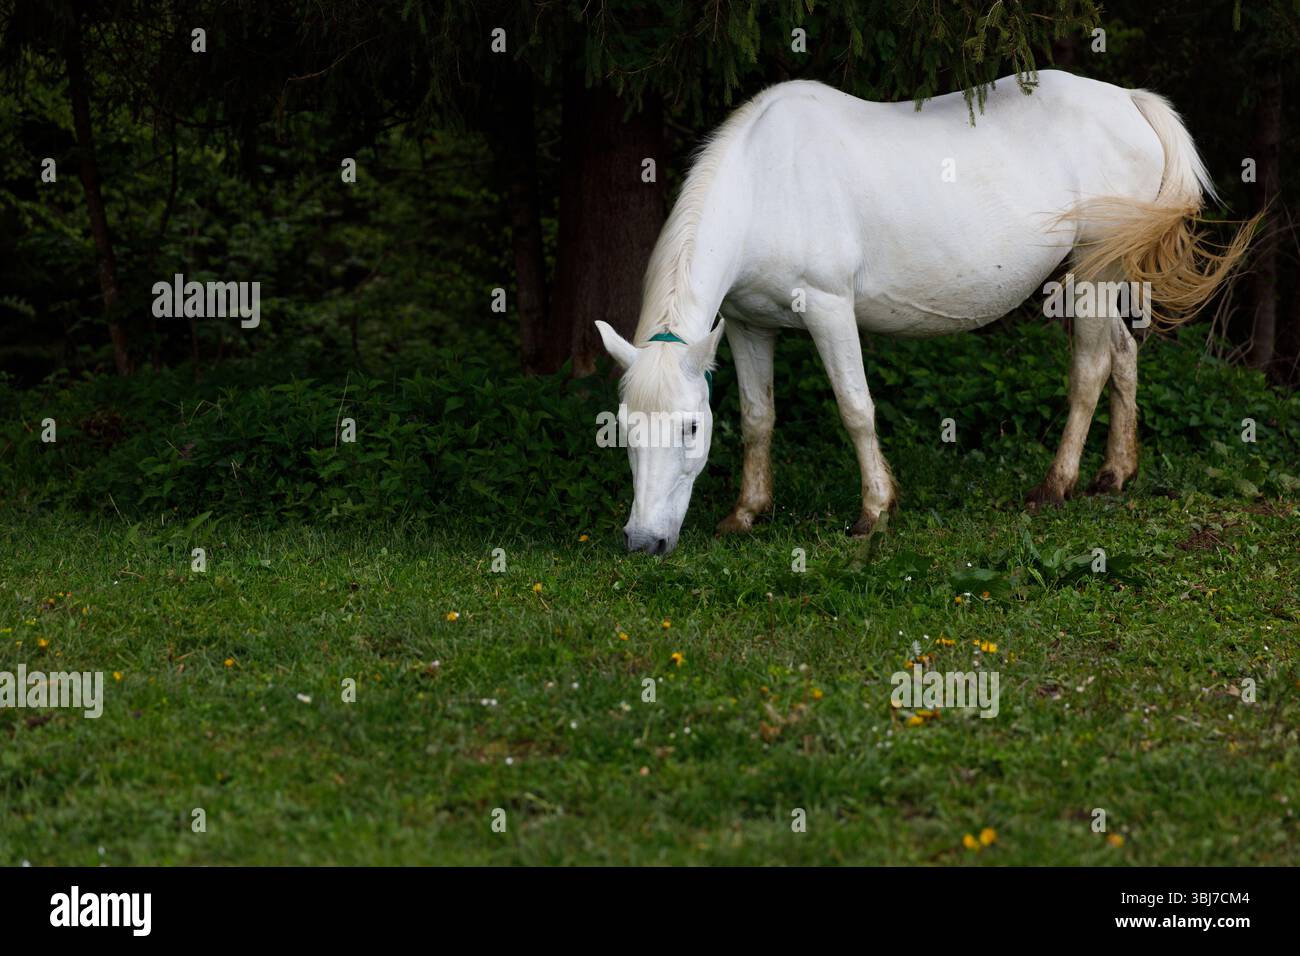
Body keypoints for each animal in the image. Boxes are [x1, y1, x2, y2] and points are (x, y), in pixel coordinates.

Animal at [595, 70, 1254, 556]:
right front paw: (747, 513)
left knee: (1090, 369)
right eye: (624, 429)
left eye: (690, 427)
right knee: (1122, 353)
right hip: (1096, 276)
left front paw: (874, 511)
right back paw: (1115, 474)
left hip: (1096, 270)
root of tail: (1129, 101)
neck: (764, 185)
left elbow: (856, 408)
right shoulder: (748, 325)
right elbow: (760, 418)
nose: (644, 543)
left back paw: (1055, 486)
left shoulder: (830, 310)